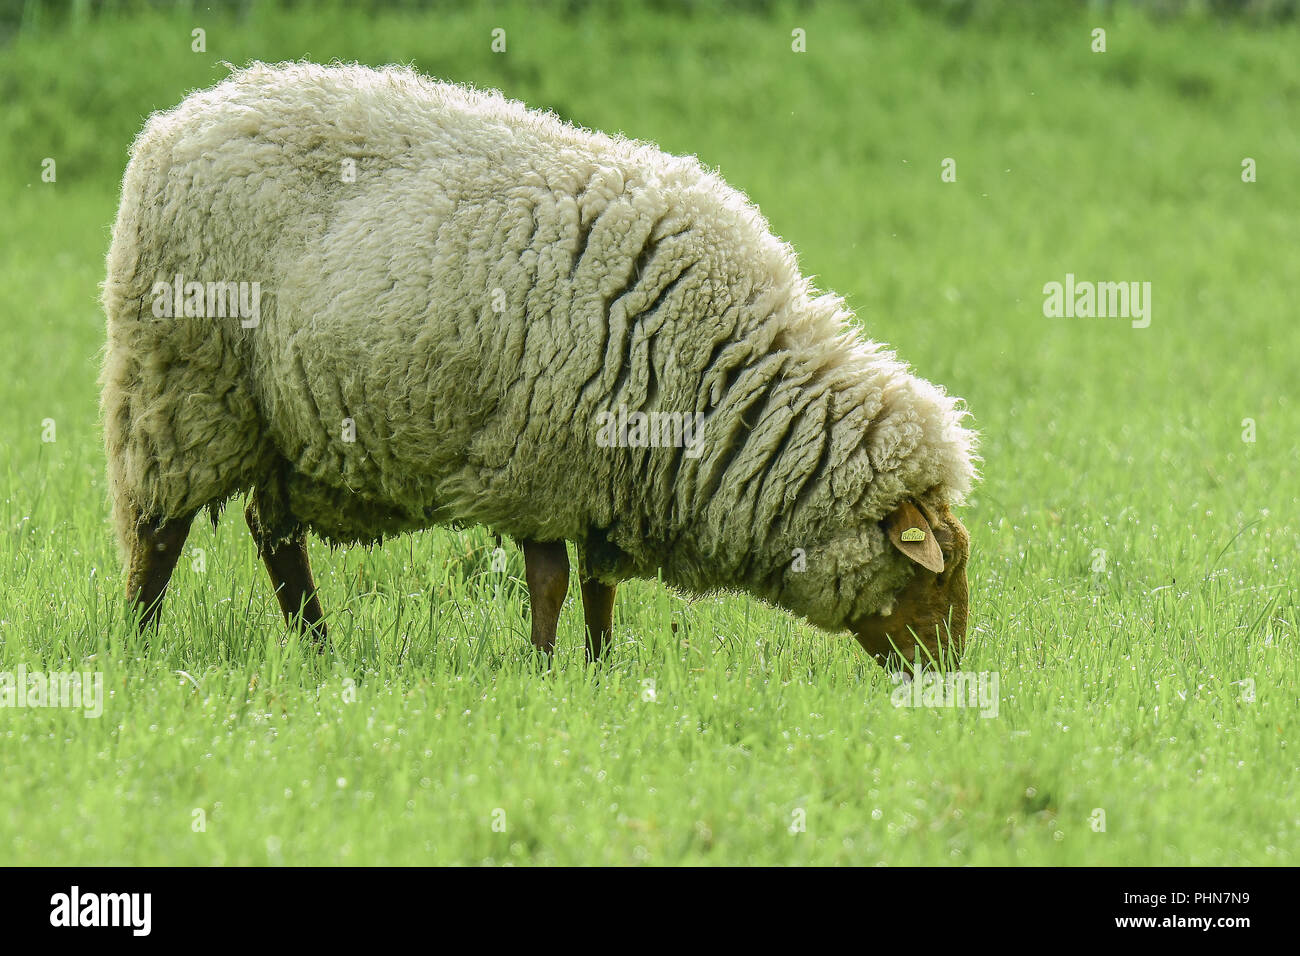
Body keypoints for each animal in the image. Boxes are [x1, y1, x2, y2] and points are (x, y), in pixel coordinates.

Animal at [101, 62, 977, 669]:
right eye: (936, 576)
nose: (947, 682)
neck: (716, 377)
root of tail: (179, 119)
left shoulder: (602, 478)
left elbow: (599, 589)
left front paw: (599, 669)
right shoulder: (542, 464)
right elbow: (553, 581)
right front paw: (548, 671)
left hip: (279, 425)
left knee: (271, 534)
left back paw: (318, 649)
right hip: (184, 384)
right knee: (159, 530)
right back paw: (139, 639)